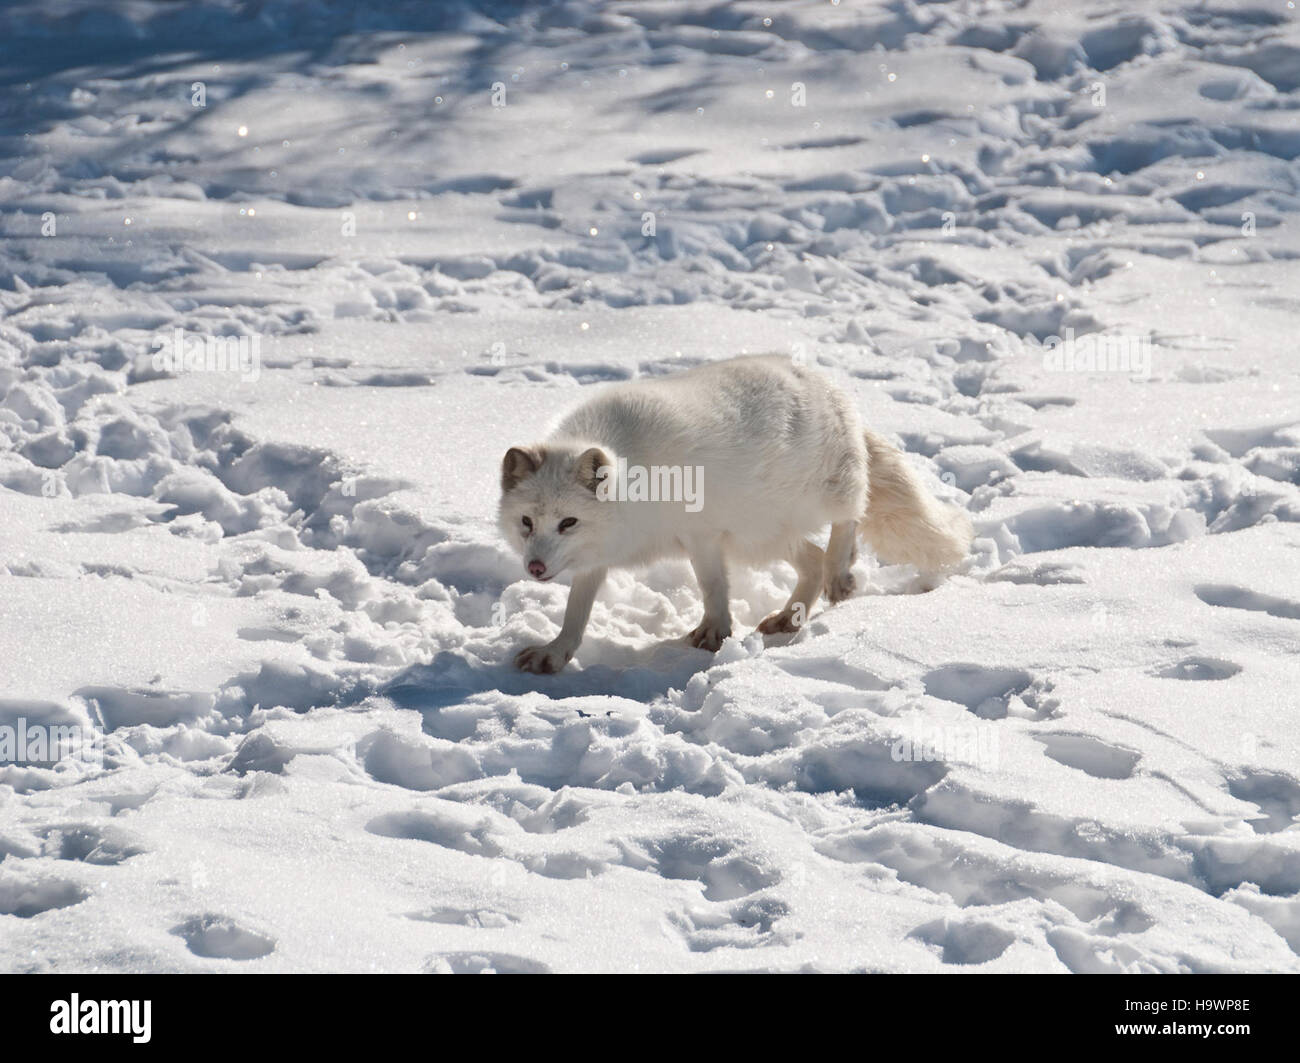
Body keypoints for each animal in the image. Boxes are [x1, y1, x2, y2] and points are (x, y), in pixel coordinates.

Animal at [499, 355, 973, 674]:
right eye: (527, 523)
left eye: (568, 522)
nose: (535, 567)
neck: (636, 479)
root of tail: (827, 386)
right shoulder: (600, 554)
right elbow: (575, 610)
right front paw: (556, 652)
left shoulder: (702, 534)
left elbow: (712, 586)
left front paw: (715, 632)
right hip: (760, 535)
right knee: (812, 560)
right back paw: (788, 617)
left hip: (816, 501)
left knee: (849, 518)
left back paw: (842, 569)